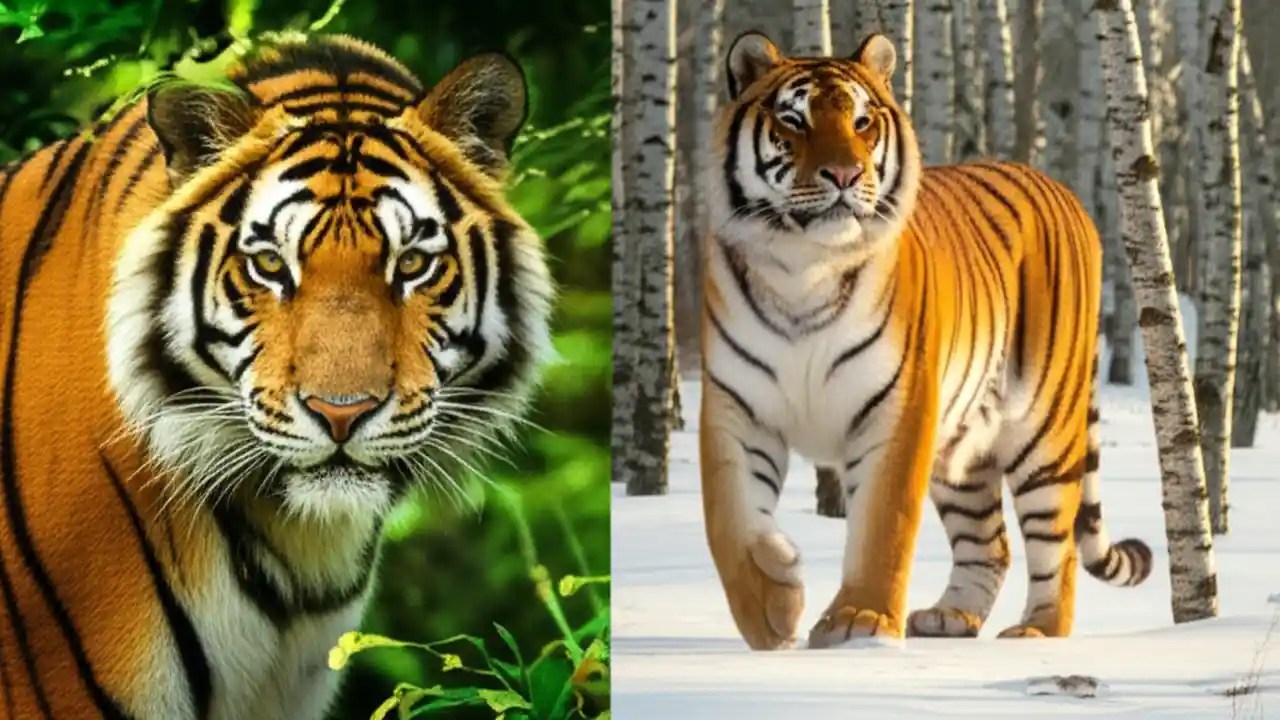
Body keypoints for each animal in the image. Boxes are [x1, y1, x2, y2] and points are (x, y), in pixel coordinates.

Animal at [699, 31, 1152, 651]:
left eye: (862, 122)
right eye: (794, 120)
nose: (844, 175)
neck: (804, 268)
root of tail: (1064, 191)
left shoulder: (898, 406)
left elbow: (882, 526)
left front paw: (858, 622)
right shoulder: (735, 407)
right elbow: (729, 522)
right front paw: (772, 607)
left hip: (1044, 428)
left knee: (1053, 545)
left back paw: (1037, 630)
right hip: (962, 449)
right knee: (991, 542)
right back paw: (950, 617)